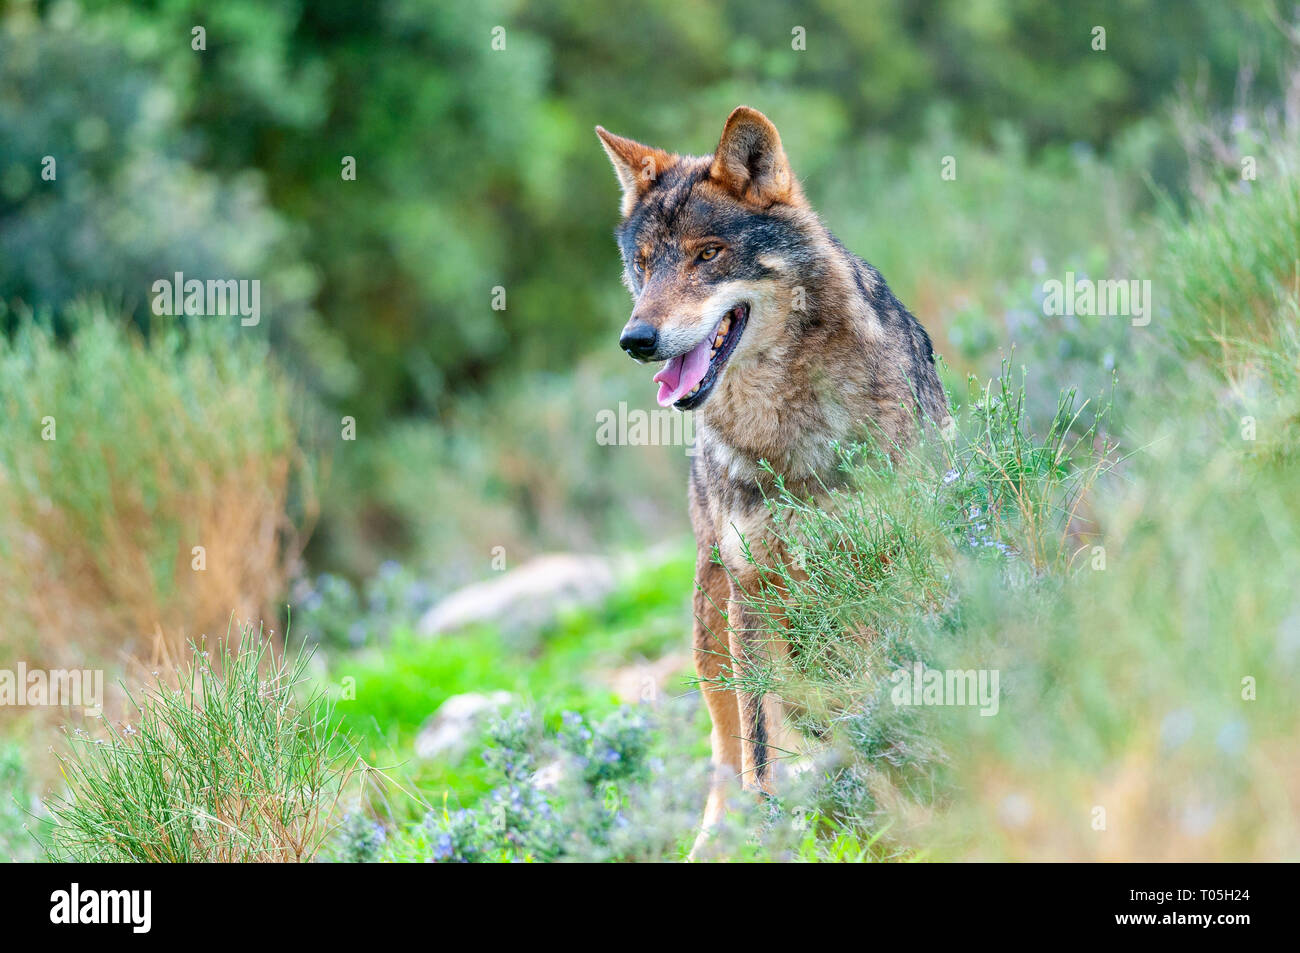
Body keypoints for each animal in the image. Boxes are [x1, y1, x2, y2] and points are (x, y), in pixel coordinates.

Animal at [597, 106, 947, 853]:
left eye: (707, 255)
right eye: (644, 265)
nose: (637, 339)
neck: (782, 427)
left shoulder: (888, 560)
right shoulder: (753, 590)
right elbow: (761, 743)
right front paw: (771, 825)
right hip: (712, 621)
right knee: (727, 748)